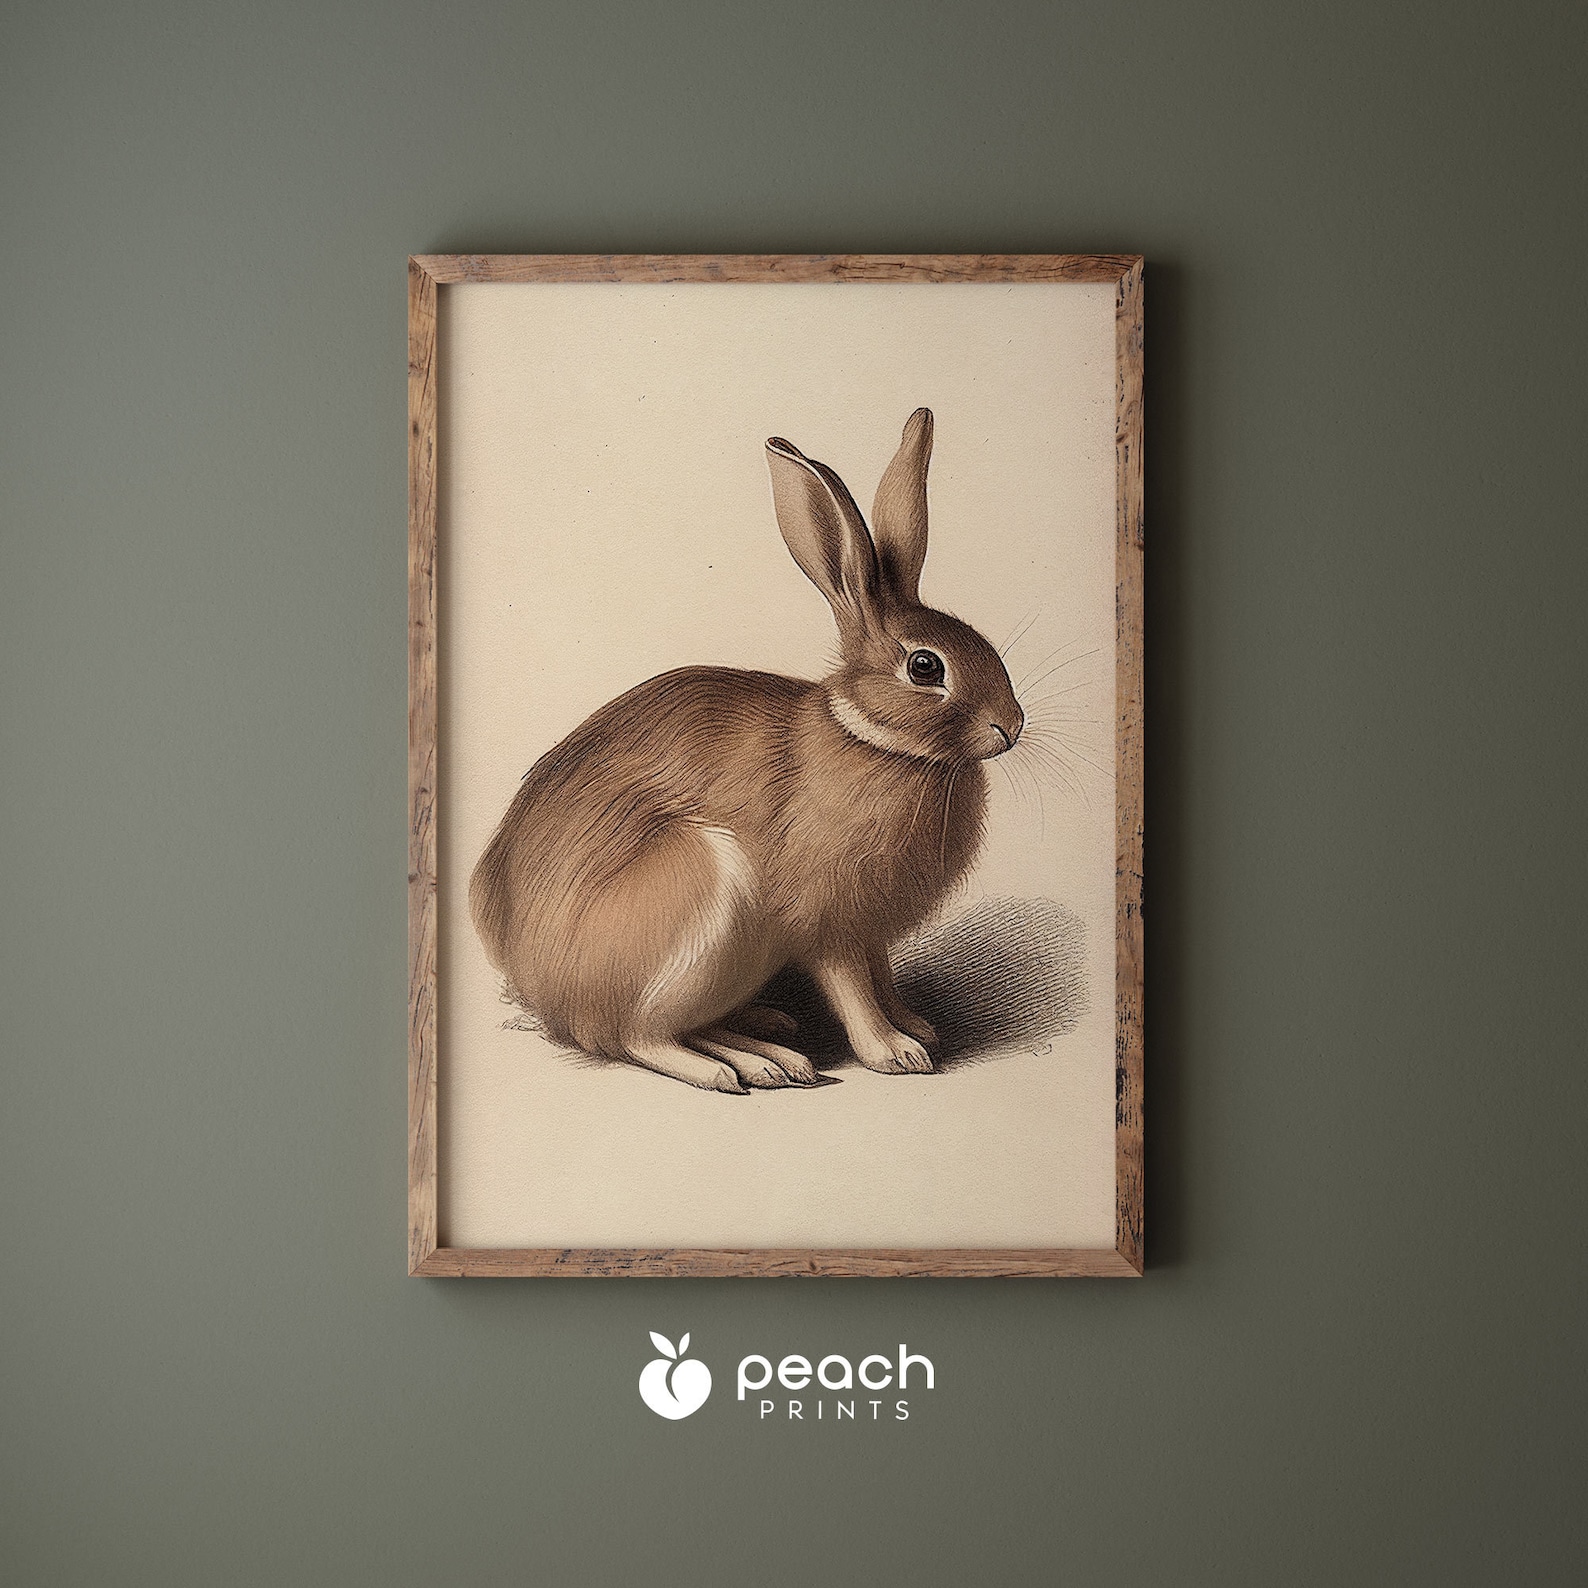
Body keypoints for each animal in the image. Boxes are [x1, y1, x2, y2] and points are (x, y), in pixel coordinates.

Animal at [470, 408, 1024, 1092]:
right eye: (926, 667)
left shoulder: (872, 931)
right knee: (636, 1036)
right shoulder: (830, 924)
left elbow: (884, 978)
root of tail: (541, 991)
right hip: (704, 903)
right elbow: (852, 988)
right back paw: (743, 1068)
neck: (876, 743)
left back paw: (773, 1041)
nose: (1012, 726)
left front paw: (916, 1026)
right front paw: (894, 1052)